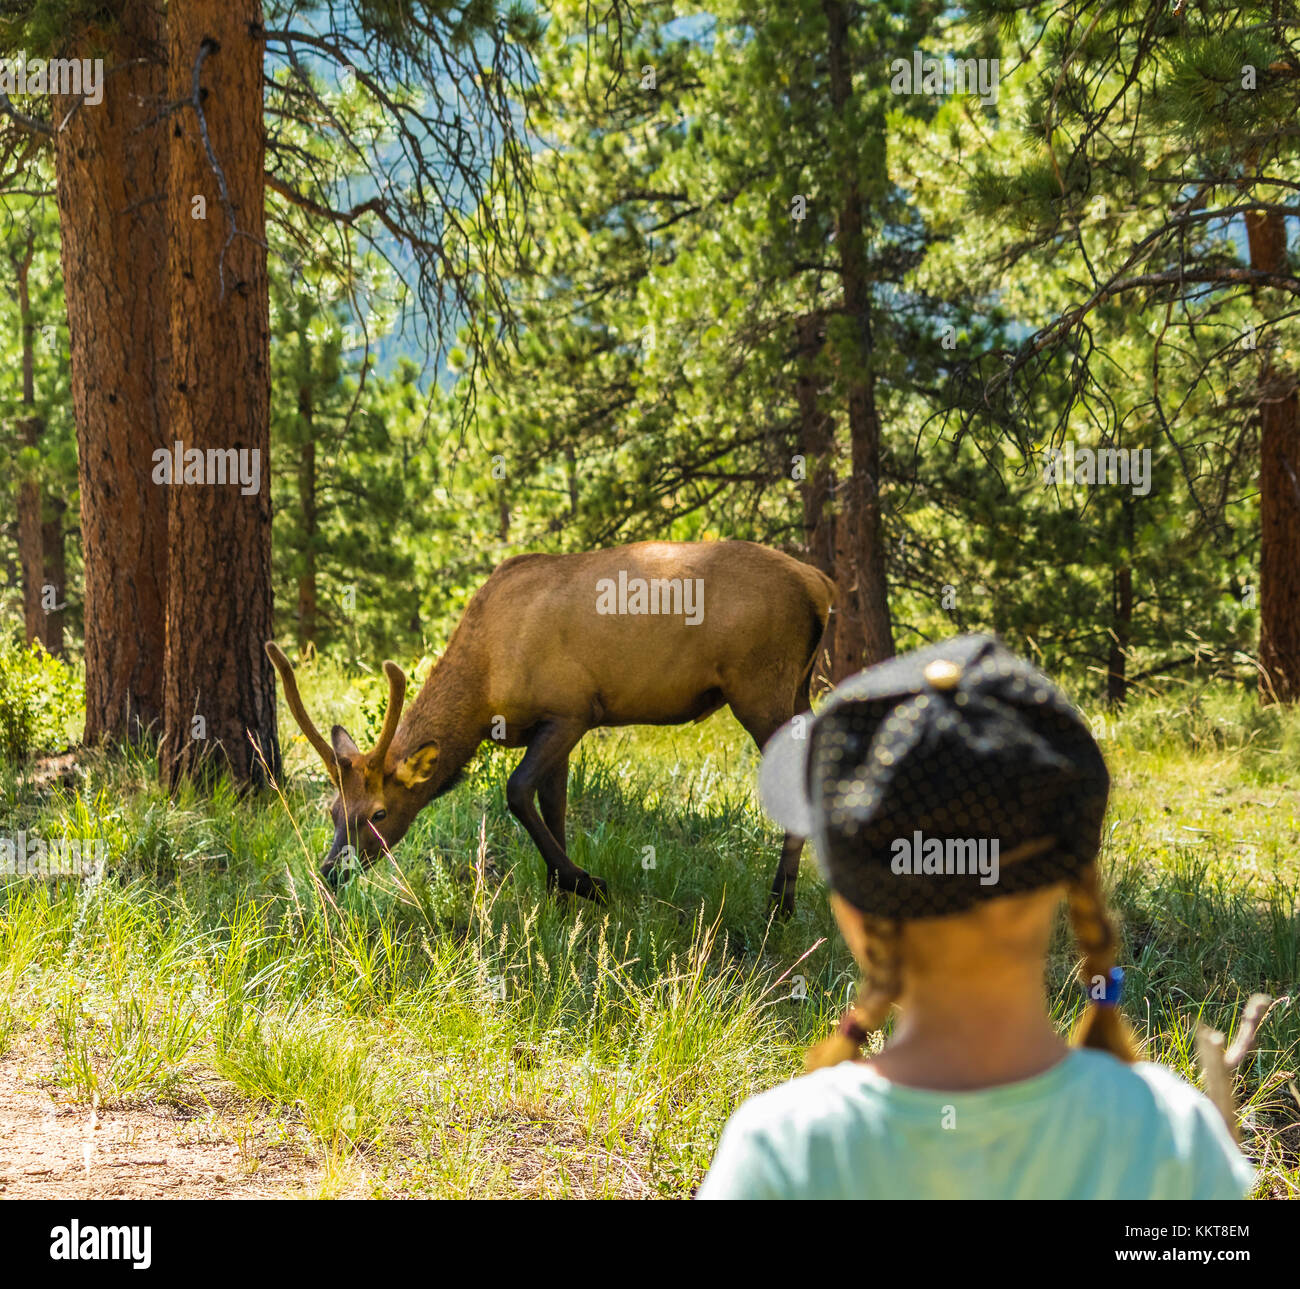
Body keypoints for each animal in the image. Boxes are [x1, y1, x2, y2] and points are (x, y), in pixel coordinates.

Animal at [266, 539, 834, 914]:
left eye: (380, 813)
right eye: (334, 810)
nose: (330, 872)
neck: (485, 687)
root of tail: (822, 586)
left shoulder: (573, 708)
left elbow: (518, 791)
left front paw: (585, 883)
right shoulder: (557, 725)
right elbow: (553, 802)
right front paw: (560, 890)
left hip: (760, 685)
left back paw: (781, 902)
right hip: (796, 686)